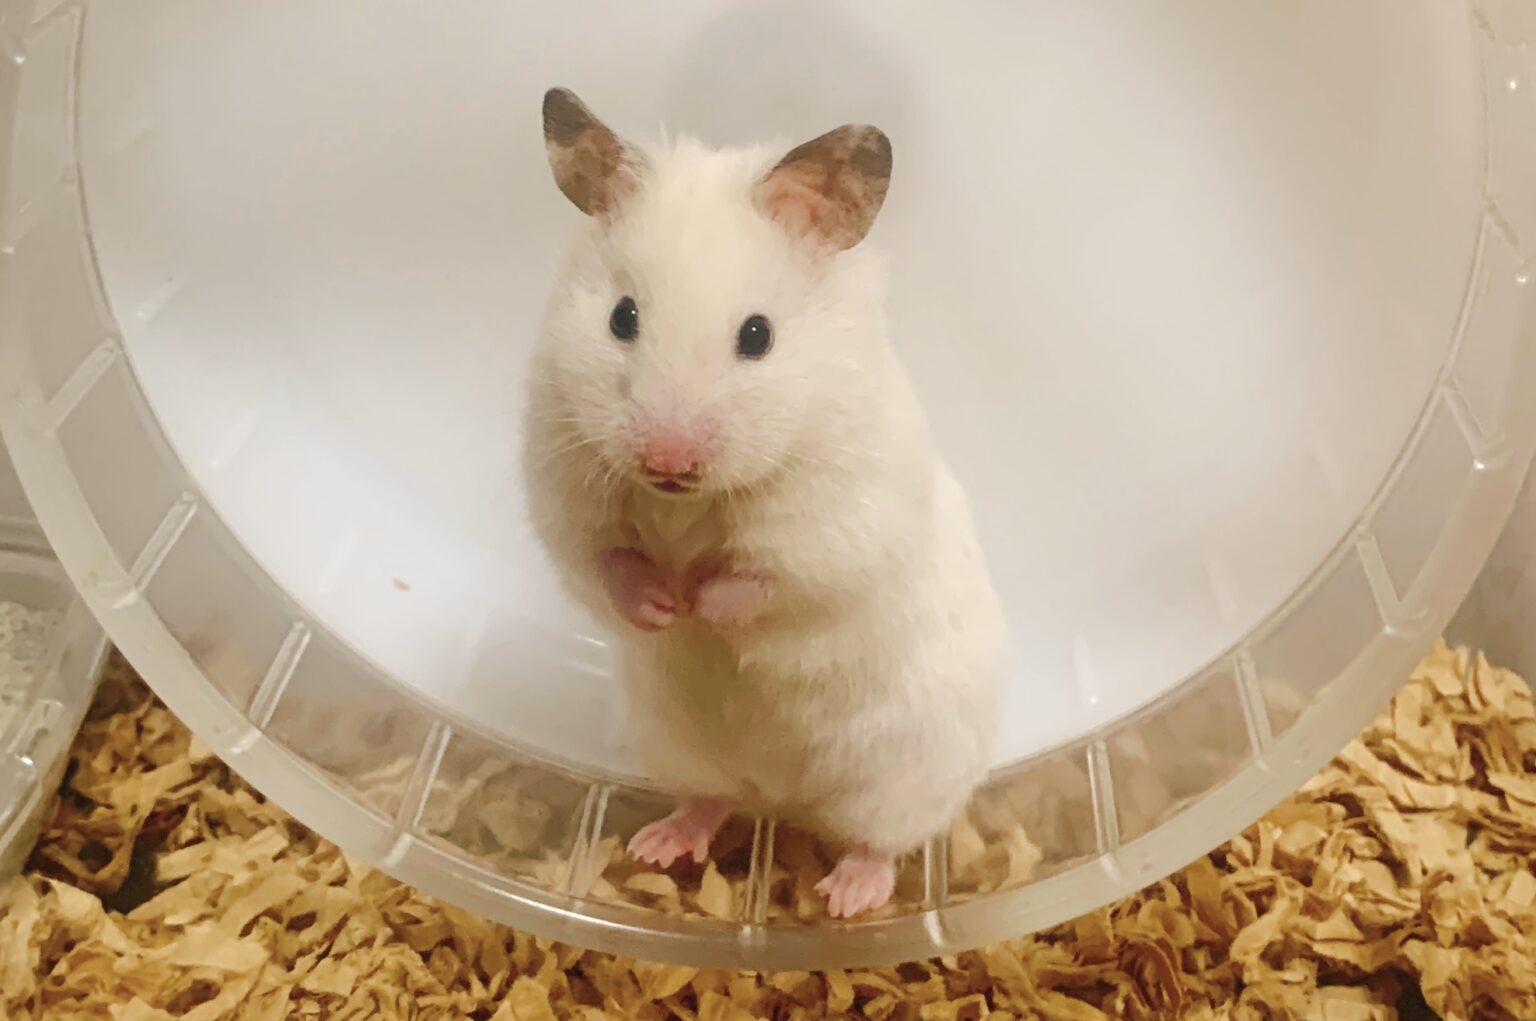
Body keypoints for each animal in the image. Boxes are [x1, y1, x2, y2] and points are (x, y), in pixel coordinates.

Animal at [522, 88, 1007, 918]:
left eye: (757, 335)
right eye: (622, 318)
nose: (667, 461)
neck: (693, 501)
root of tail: (787, 803)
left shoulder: (833, 522)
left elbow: (767, 579)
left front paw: (698, 604)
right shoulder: (564, 488)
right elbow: (606, 561)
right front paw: (663, 607)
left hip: (905, 772)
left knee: (880, 840)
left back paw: (847, 896)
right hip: (676, 745)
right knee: (715, 801)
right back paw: (660, 842)